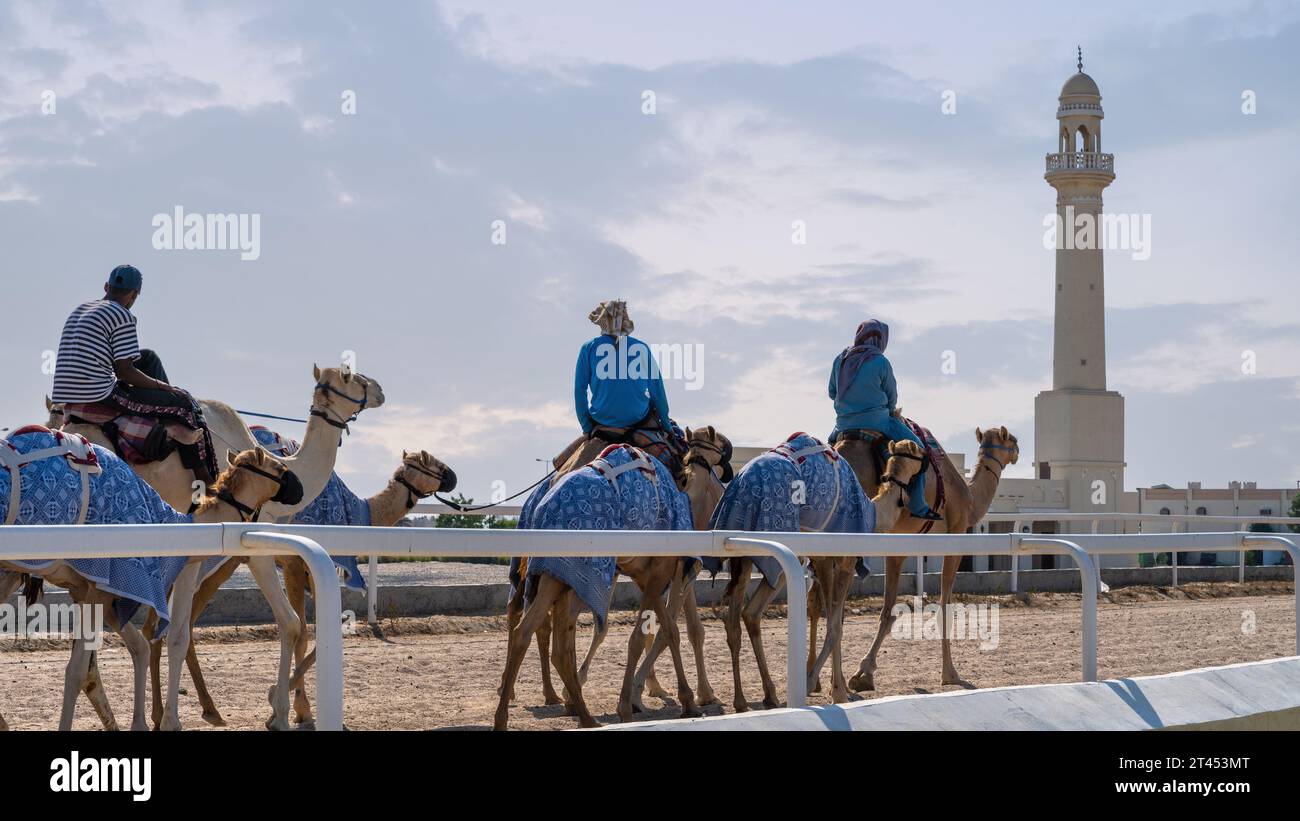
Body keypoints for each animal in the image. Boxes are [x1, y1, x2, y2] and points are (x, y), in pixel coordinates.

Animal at [0, 427, 299, 731]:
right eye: (279, 467)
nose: (299, 489)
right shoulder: (104, 583)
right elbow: (78, 670)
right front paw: (166, 721)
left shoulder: (89, 589)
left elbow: (133, 648)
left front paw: (143, 723)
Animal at [170, 446, 457, 728]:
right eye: (432, 462)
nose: (452, 475)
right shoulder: (294, 567)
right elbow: (304, 635)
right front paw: (286, 706)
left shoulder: (310, 574)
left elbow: (323, 632)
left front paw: (289, 706)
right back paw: (201, 710)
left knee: (183, 624)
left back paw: (207, 709)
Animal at [504, 426, 730, 712]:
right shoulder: (681, 568)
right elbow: (686, 630)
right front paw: (701, 693)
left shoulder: (658, 573)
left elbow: (654, 628)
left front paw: (649, 689)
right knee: (553, 620)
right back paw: (561, 692)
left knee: (534, 616)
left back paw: (539, 691)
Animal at [706, 433, 926, 708]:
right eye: (917, 452)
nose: (928, 453)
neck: (875, 513)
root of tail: (737, 485)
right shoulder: (839, 559)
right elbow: (835, 625)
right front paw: (830, 688)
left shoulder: (825, 561)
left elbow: (834, 620)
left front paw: (834, 686)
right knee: (751, 611)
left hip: (743, 550)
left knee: (742, 615)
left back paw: (752, 698)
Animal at [835, 424, 1019, 692]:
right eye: (1010, 439)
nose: (1018, 450)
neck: (971, 501)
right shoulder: (955, 536)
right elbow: (944, 609)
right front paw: (950, 674)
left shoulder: (898, 545)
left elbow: (888, 611)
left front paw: (863, 674)